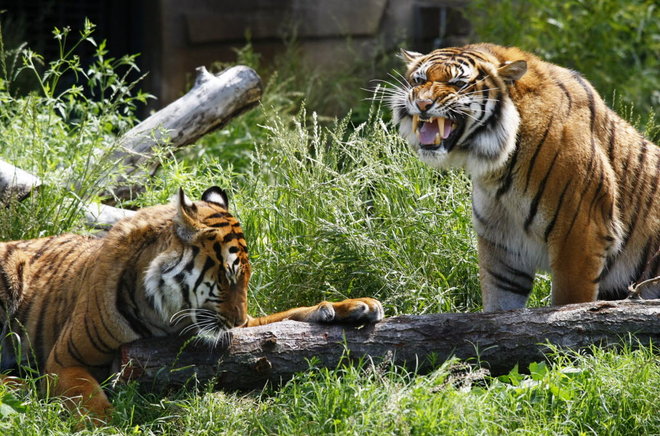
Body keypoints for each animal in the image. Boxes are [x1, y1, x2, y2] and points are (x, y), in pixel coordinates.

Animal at [0, 186, 383, 423]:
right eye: (228, 276)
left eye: (246, 278)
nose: (237, 320)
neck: (162, 314)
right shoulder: (65, 360)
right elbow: (91, 403)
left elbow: (281, 316)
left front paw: (353, 307)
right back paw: (18, 385)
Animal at [388, 43, 660, 311]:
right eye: (419, 80)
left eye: (458, 83)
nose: (422, 104)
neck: (497, 166)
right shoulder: (501, 247)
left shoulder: (581, 236)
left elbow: (571, 304)